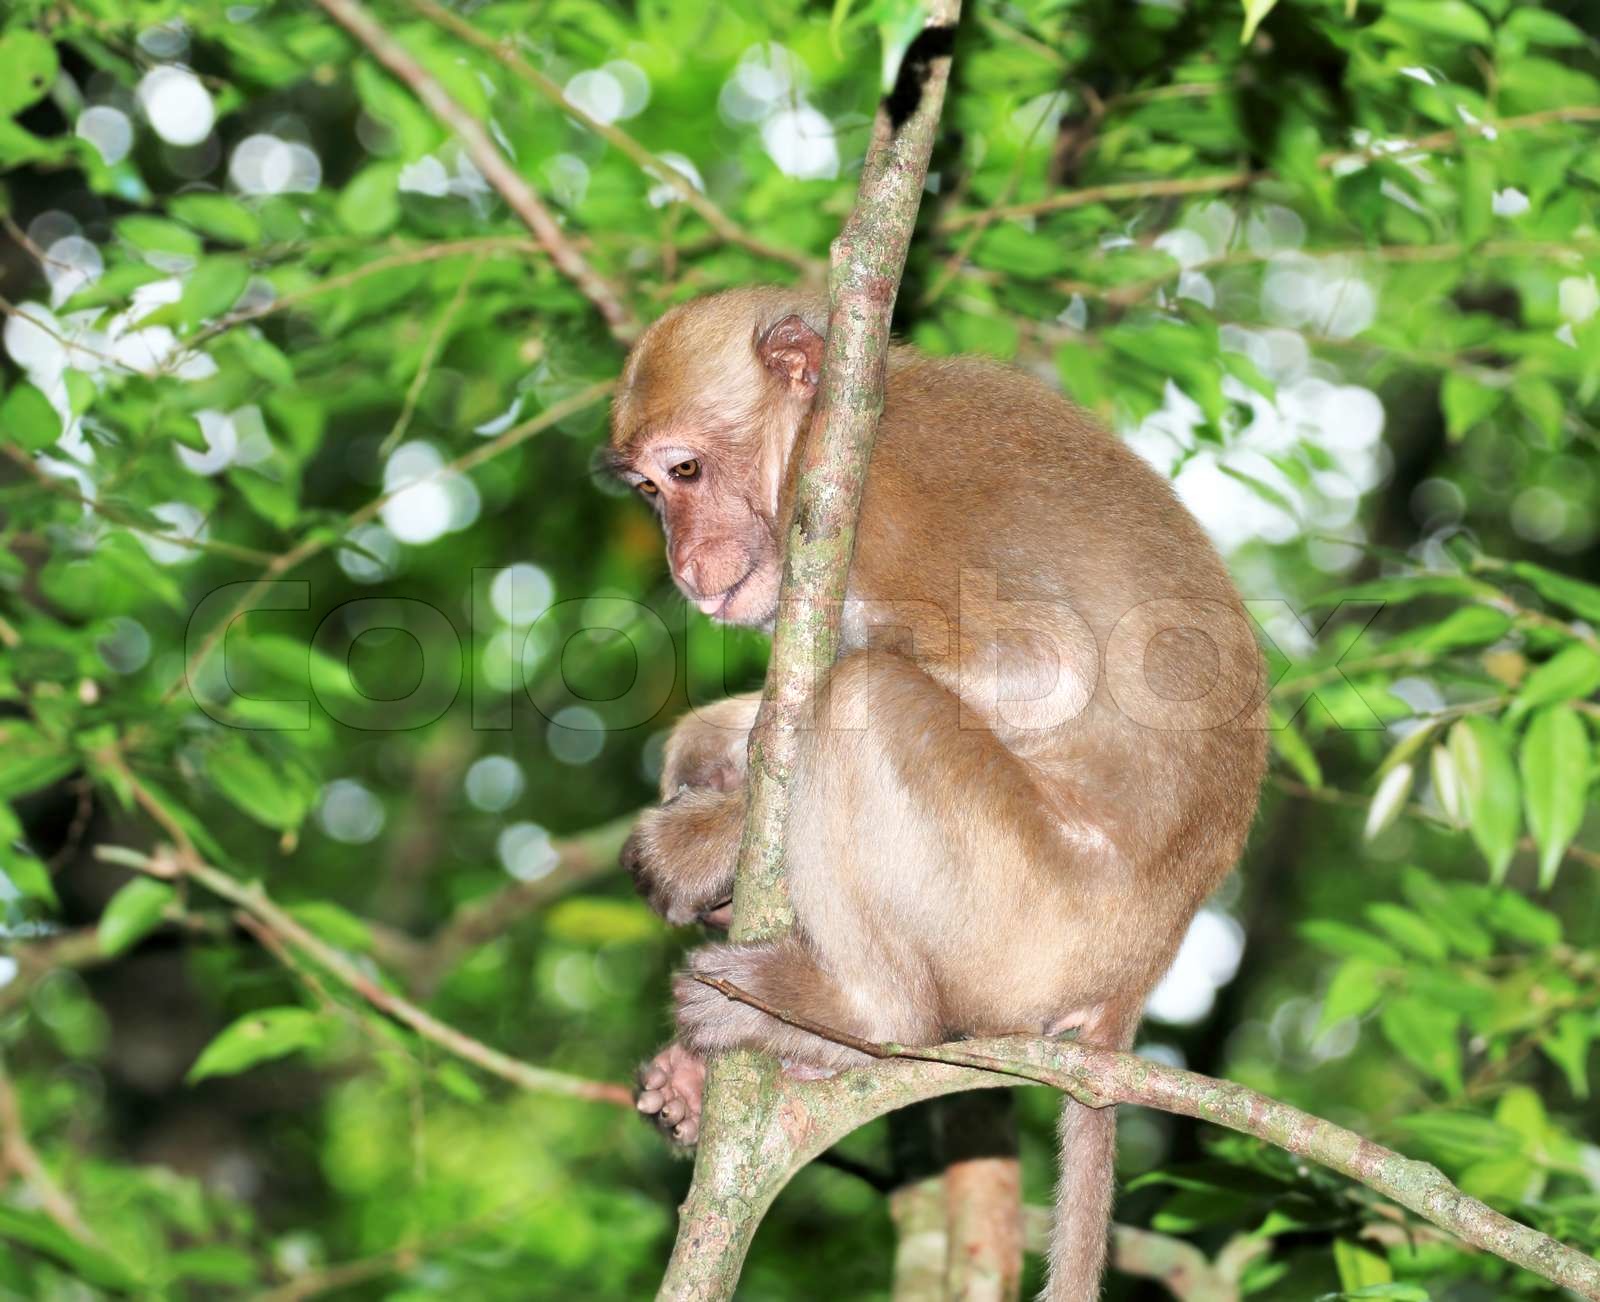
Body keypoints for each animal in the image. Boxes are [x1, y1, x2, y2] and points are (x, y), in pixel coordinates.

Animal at [608, 286, 1267, 1300]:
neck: (814, 442)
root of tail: (1133, 984)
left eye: (685, 470)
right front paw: (708, 757)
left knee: (866, 696)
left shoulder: (875, 505)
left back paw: (860, 1017)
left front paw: (707, 836)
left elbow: (1044, 668)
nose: (683, 564)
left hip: (1024, 918)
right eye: (648, 490)